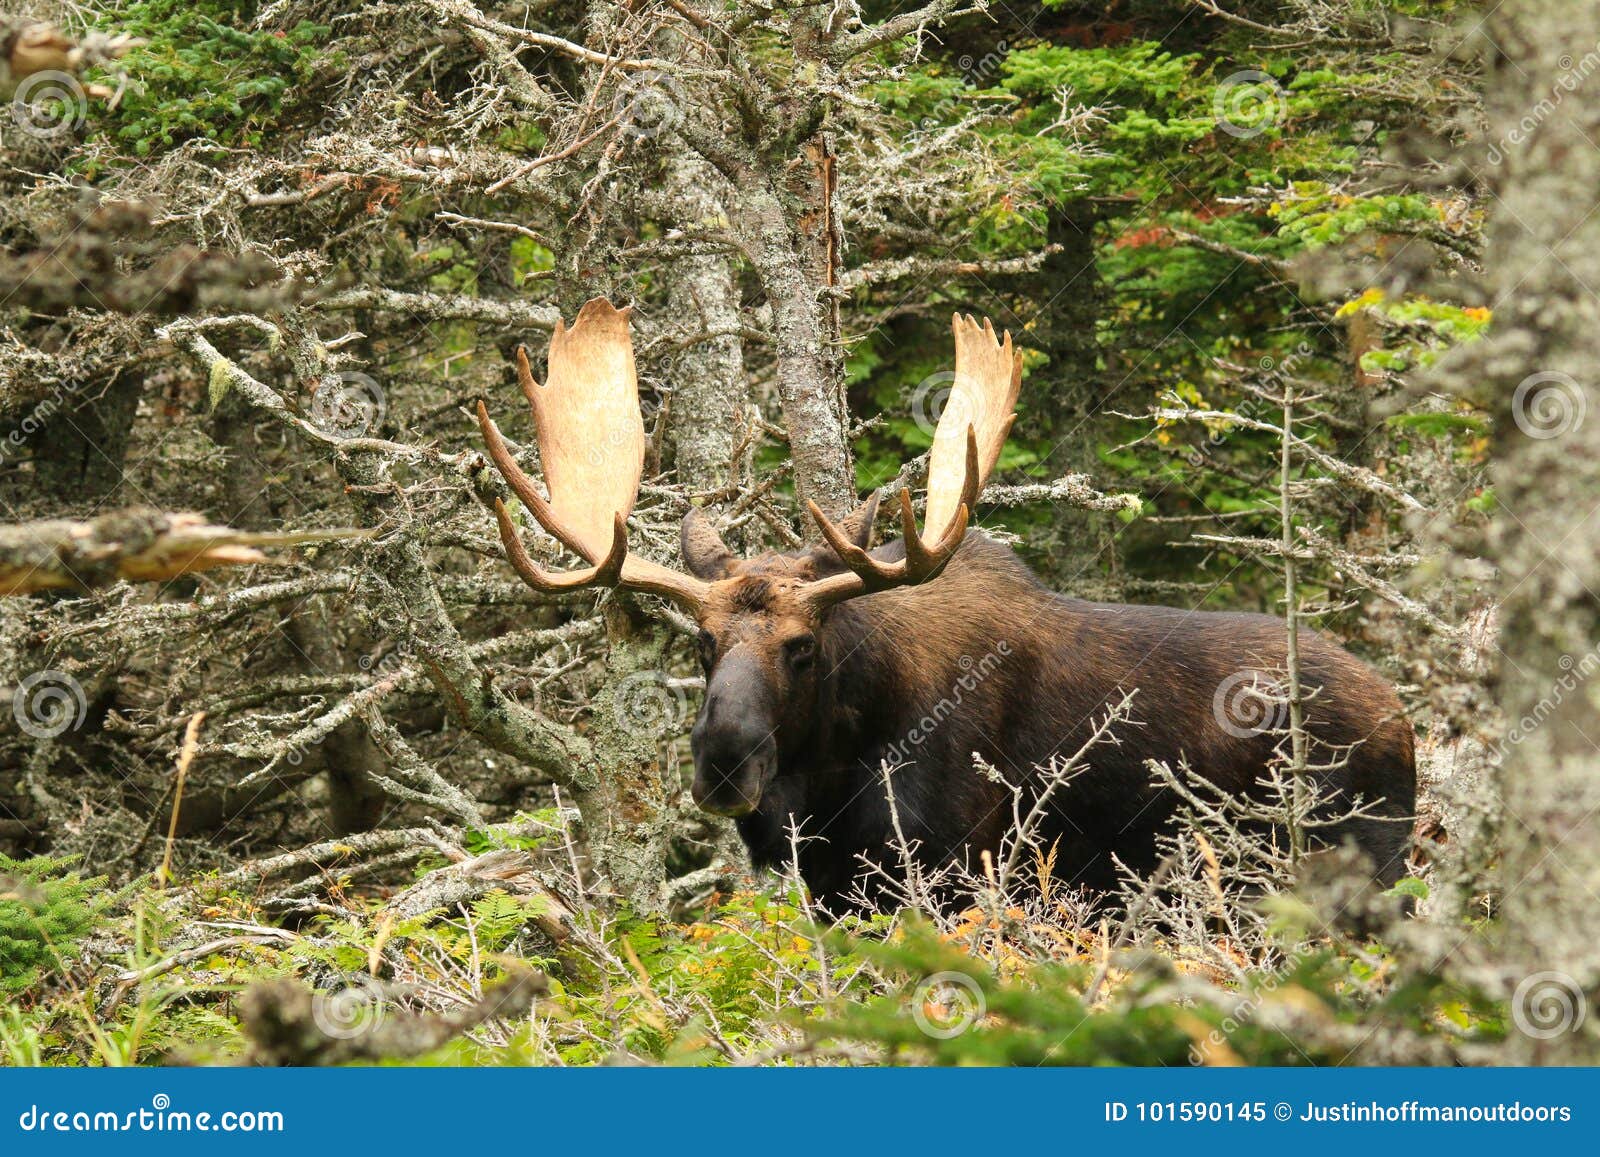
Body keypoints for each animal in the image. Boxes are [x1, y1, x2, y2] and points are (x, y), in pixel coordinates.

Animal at [476, 299, 1417, 908]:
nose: (722, 759)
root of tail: (1405, 721)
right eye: (701, 643)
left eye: (803, 645)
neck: (834, 775)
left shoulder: (955, 873)